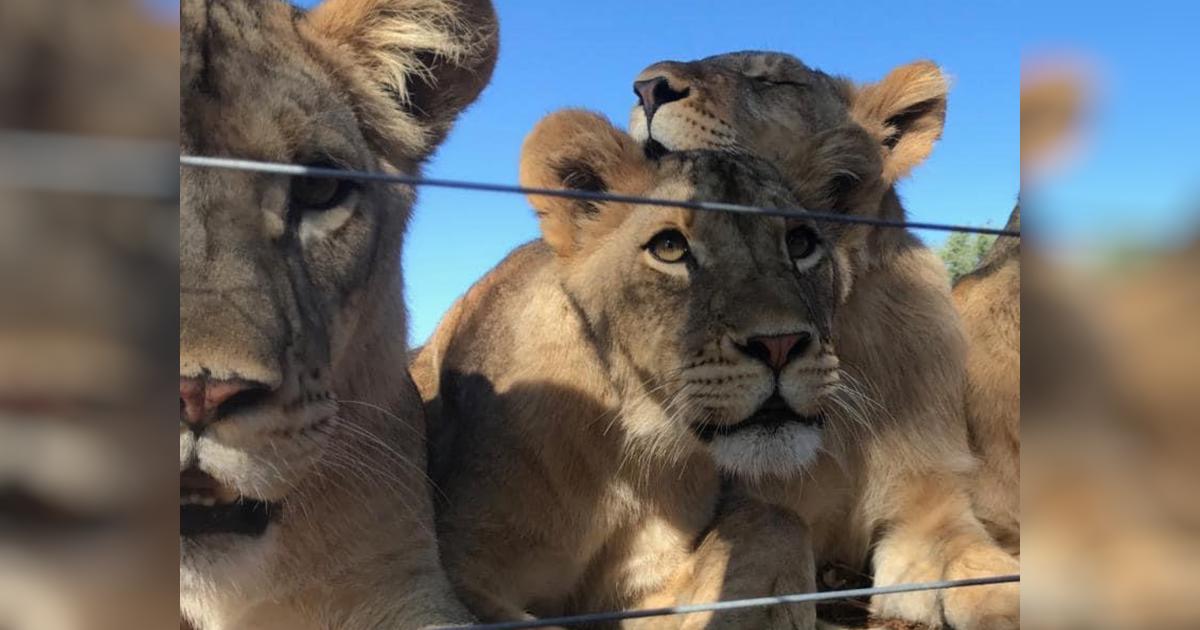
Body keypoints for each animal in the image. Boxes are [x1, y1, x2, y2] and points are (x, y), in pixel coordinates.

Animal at [411, 109, 864, 627]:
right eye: (670, 247)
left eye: (801, 243)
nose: (780, 344)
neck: (628, 450)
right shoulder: (462, 567)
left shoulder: (646, 584)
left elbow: (776, 520)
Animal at [628, 52, 1019, 629]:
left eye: (773, 80)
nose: (646, 88)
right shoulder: (744, 496)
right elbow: (770, 525)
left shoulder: (928, 509)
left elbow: (990, 574)